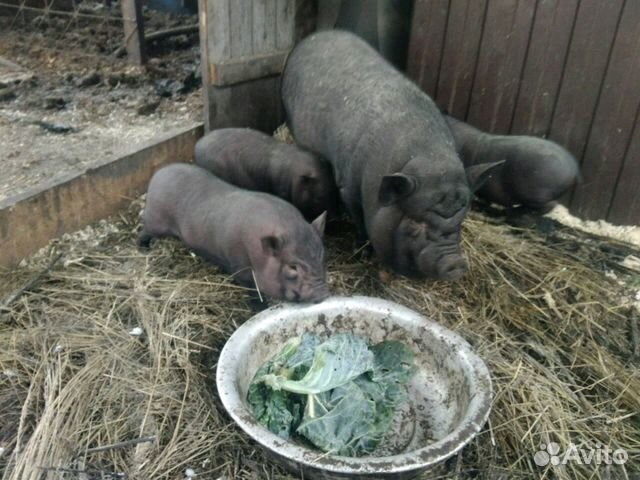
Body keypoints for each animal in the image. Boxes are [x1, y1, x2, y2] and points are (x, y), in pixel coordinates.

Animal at [139, 163, 330, 303]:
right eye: (292, 267)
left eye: (322, 256)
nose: (323, 294)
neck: (258, 256)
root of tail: (158, 174)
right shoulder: (240, 268)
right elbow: (253, 292)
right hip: (156, 221)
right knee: (145, 229)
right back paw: (143, 248)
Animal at [281, 30, 502, 280]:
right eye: (416, 224)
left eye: (460, 222)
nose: (456, 265)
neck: (428, 155)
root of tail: (315, 36)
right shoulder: (348, 188)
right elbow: (360, 222)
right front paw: (364, 252)